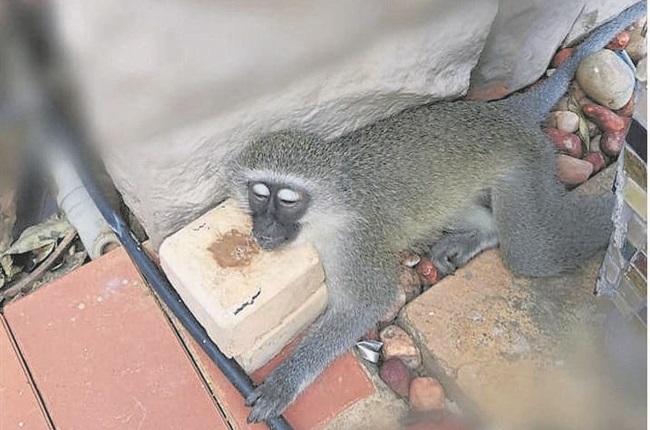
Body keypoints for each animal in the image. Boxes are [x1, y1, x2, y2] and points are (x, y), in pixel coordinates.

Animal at [226, 2, 646, 423]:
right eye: (259, 194)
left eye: (287, 200)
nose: (265, 227)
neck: (334, 201)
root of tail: (503, 112)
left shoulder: (356, 241)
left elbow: (366, 303)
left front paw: (284, 383)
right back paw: (480, 234)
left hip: (528, 162)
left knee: (534, 251)